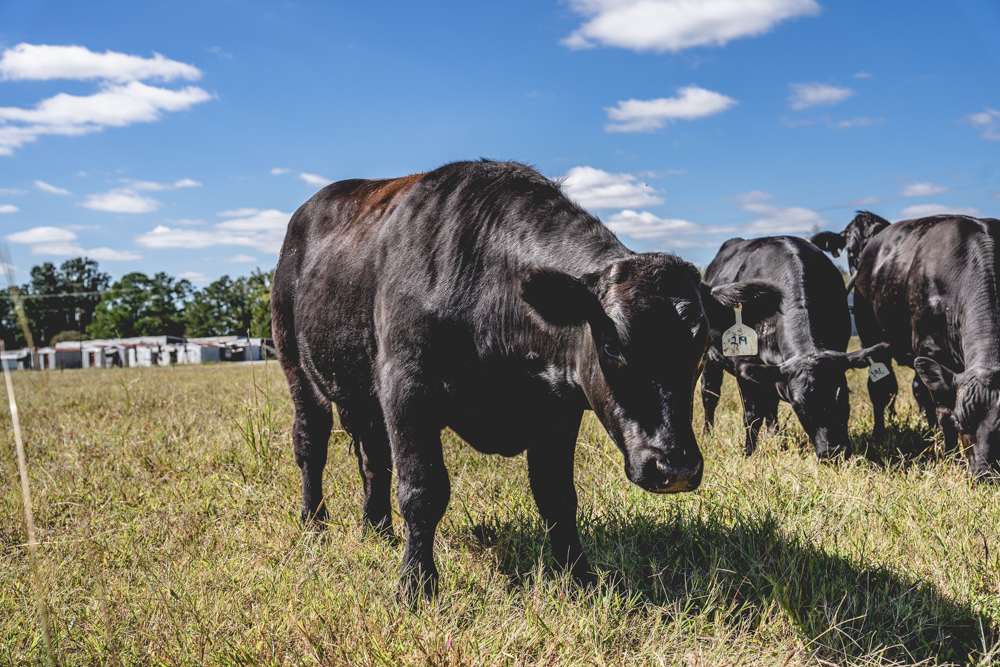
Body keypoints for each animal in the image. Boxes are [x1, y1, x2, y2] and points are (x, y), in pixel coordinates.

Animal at [272, 160, 783, 599]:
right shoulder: (406, 389)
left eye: (698, 351)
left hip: (361, 394)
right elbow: (422, 491)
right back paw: (314, 523)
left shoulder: (557, 410)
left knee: (372, 458)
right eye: (612, 346)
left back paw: (376, 528)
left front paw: (580, 578)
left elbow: (558, 497)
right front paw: (416, 586)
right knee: (311, 443)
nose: (675, 467)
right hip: (297, 365)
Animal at [700, 236, 887, 459]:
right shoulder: (744, 365)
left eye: (843, 398)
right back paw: (708, 433)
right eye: (800, 407)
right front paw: (748, 453)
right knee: (709, 394)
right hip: (710, 358)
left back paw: (775, 435)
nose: (832, 451)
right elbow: (751, 416)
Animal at [814, 213, 1000, 477]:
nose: (983, 472)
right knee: (881, 389)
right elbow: (942, 410)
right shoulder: (931, 350)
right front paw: (951, 457)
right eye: (959, 421)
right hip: (871, 337)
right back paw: (880, 433)